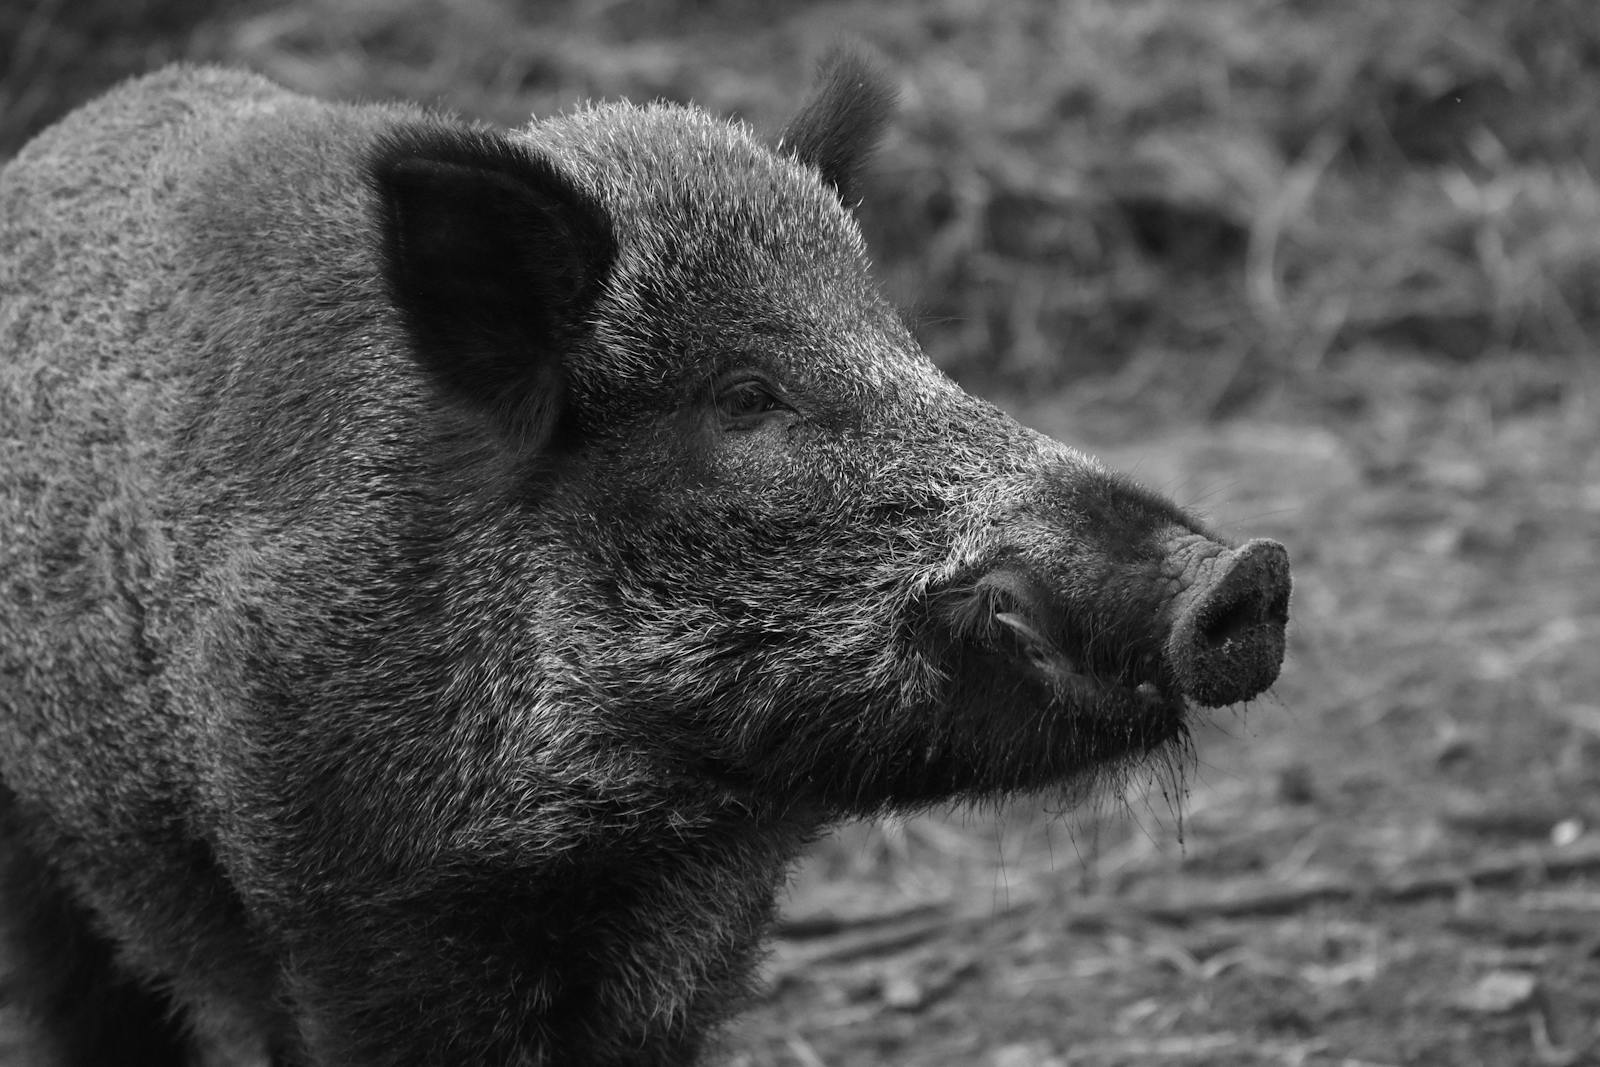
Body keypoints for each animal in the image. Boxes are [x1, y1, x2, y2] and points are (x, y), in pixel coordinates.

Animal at [0, 54, 1290, 1066]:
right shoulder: (343, 909)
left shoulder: (697, 939)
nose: (1248, 572)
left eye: (910, 347)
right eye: (746, 395)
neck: (627, 828)